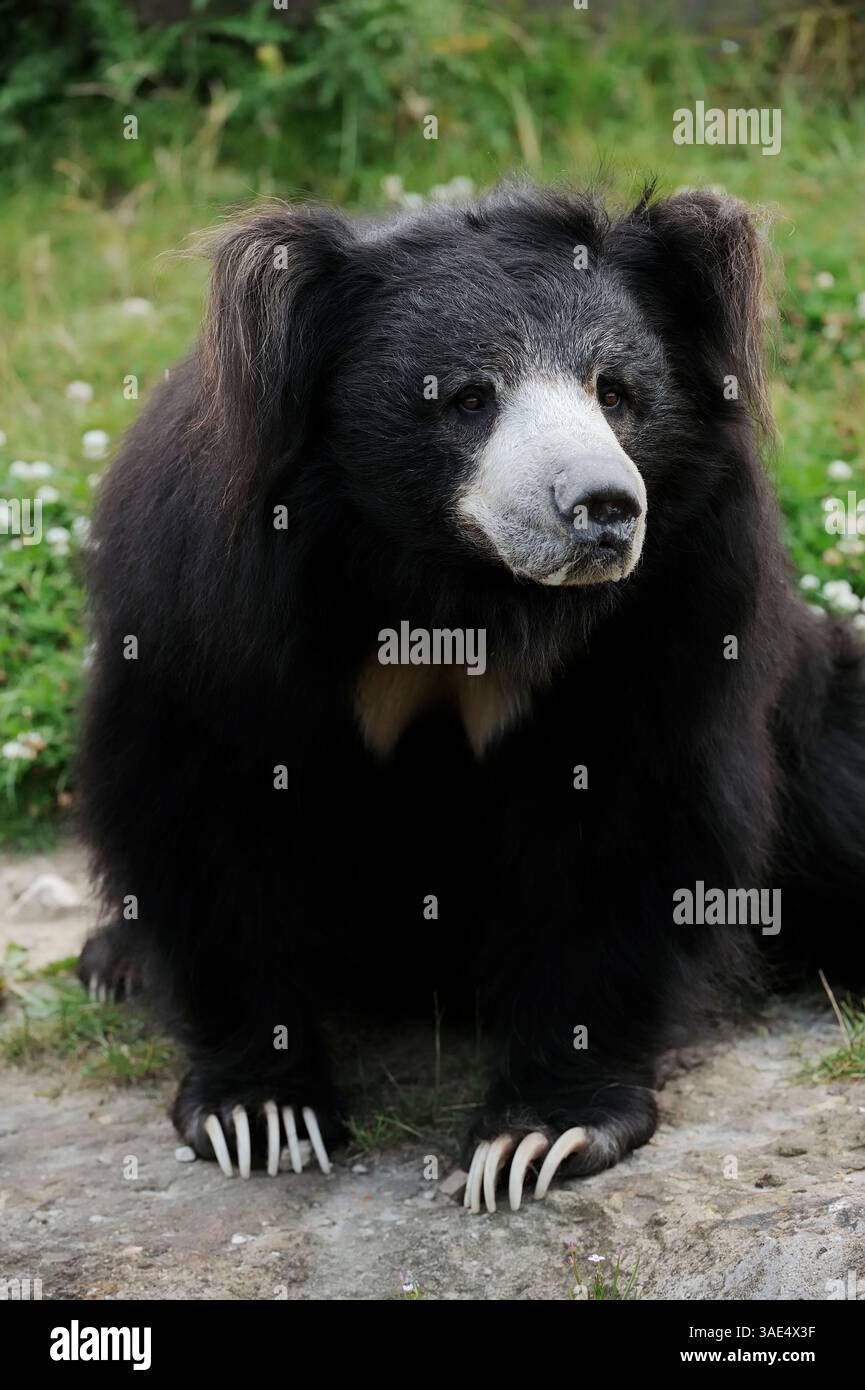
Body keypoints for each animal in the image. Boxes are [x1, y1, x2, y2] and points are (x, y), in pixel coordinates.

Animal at [77, 182, 865, 1214]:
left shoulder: (682, 592)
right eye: (466, 398)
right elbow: (210, 810)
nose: (604, 508)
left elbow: (627, 820)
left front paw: (537, 1135)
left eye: (616, 391)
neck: (459, 588)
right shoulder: (212, 602)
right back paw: (114, 965)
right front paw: (261, 1113)